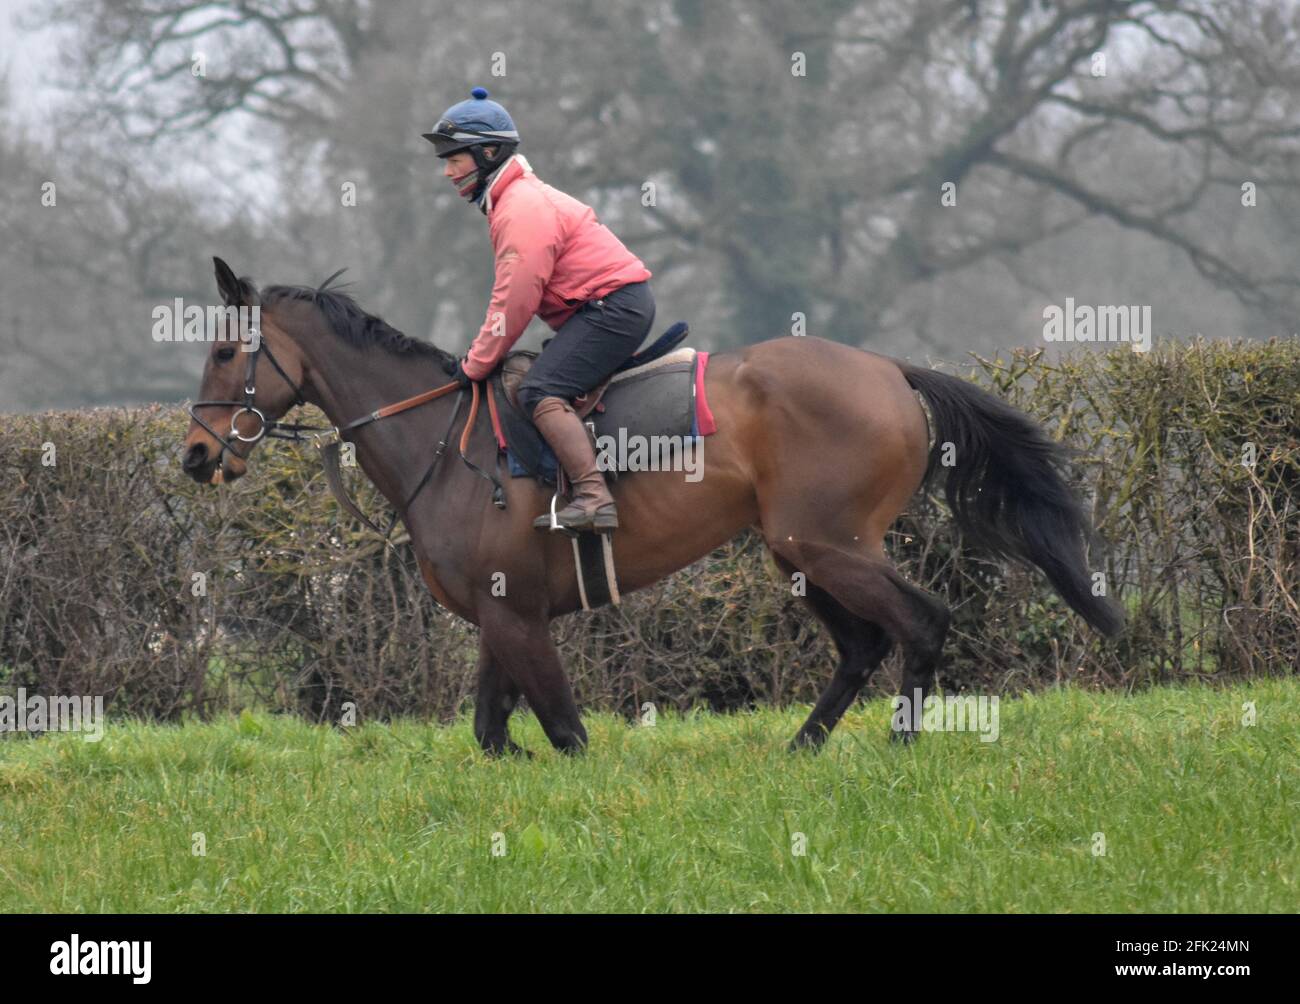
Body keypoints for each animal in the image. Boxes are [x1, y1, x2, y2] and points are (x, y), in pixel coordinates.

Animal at [183, 257, 1122, 756]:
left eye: (227, 350)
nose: (194, 456)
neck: (444, 446)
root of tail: (892, 370)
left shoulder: (519, 619)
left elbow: (564, 733)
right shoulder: (502, 614)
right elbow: (492, 732)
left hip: (828, 543)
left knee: (922, 622)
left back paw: (896, 743)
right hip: (796, 550)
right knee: (862, 645)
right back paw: (802, 748)